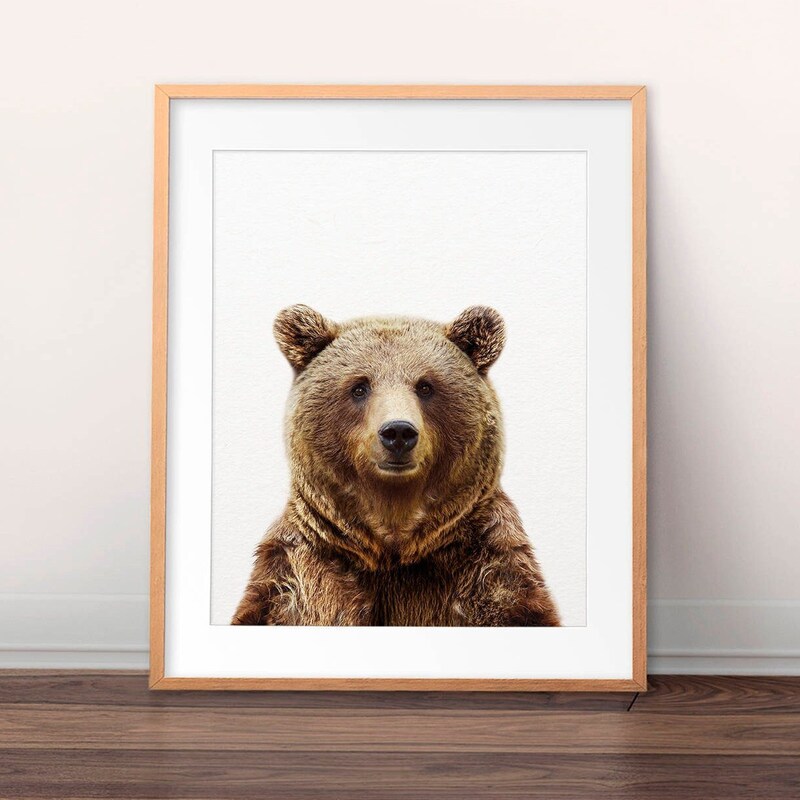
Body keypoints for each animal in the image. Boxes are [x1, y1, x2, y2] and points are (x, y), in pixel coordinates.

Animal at [232, 304, 560, 627]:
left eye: (425, 386)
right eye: (359, 387)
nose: (398, 432)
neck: (393, 551)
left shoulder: (489, 572)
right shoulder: (299, 578)